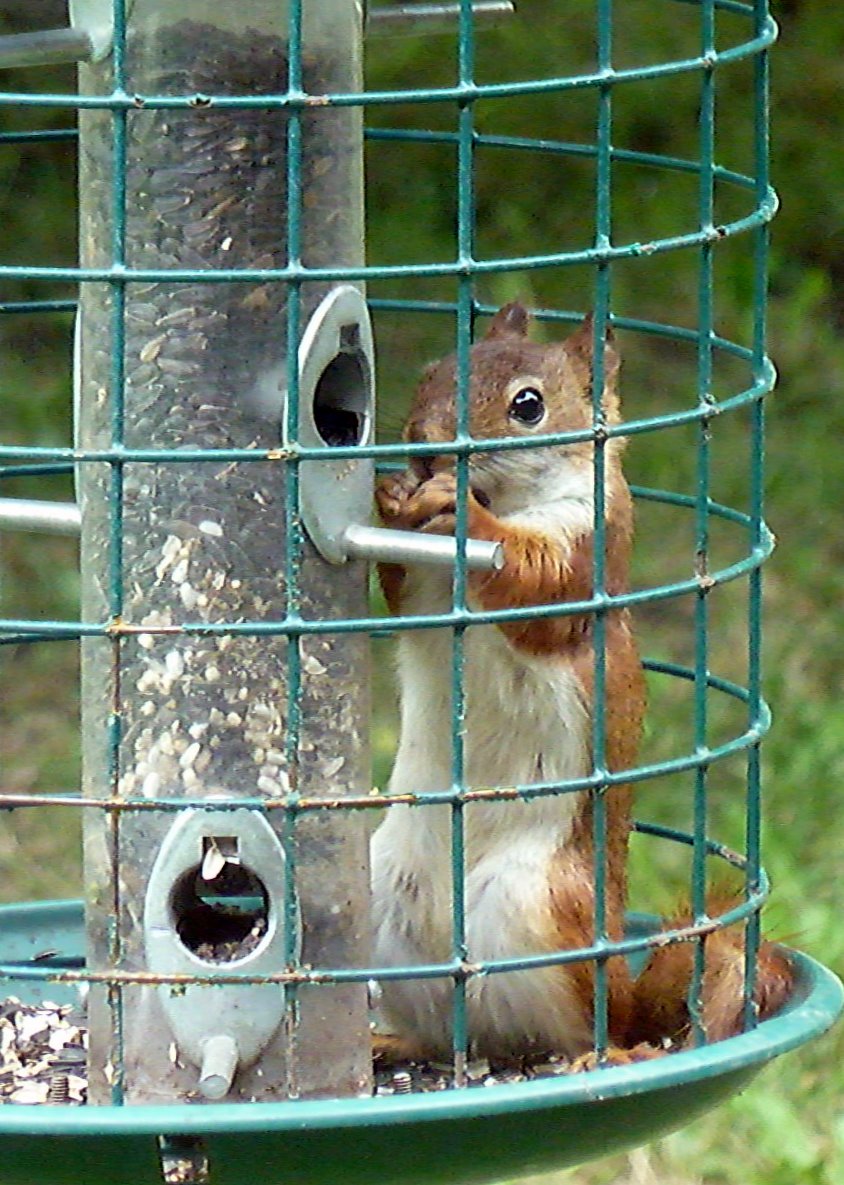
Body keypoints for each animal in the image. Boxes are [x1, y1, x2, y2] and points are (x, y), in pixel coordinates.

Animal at [370, 302, 793, 1064]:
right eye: (431, 371)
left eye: (528, 407)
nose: (422, 450)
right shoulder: (424, 593)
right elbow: (404, 586)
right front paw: (391, 496)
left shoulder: (583, 548)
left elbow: (531, 579)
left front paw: (463, 512)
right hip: (388, 897)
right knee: (444, 1031)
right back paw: (393, 1041)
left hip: (533, 903)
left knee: (575, 1024)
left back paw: (607, 1052)